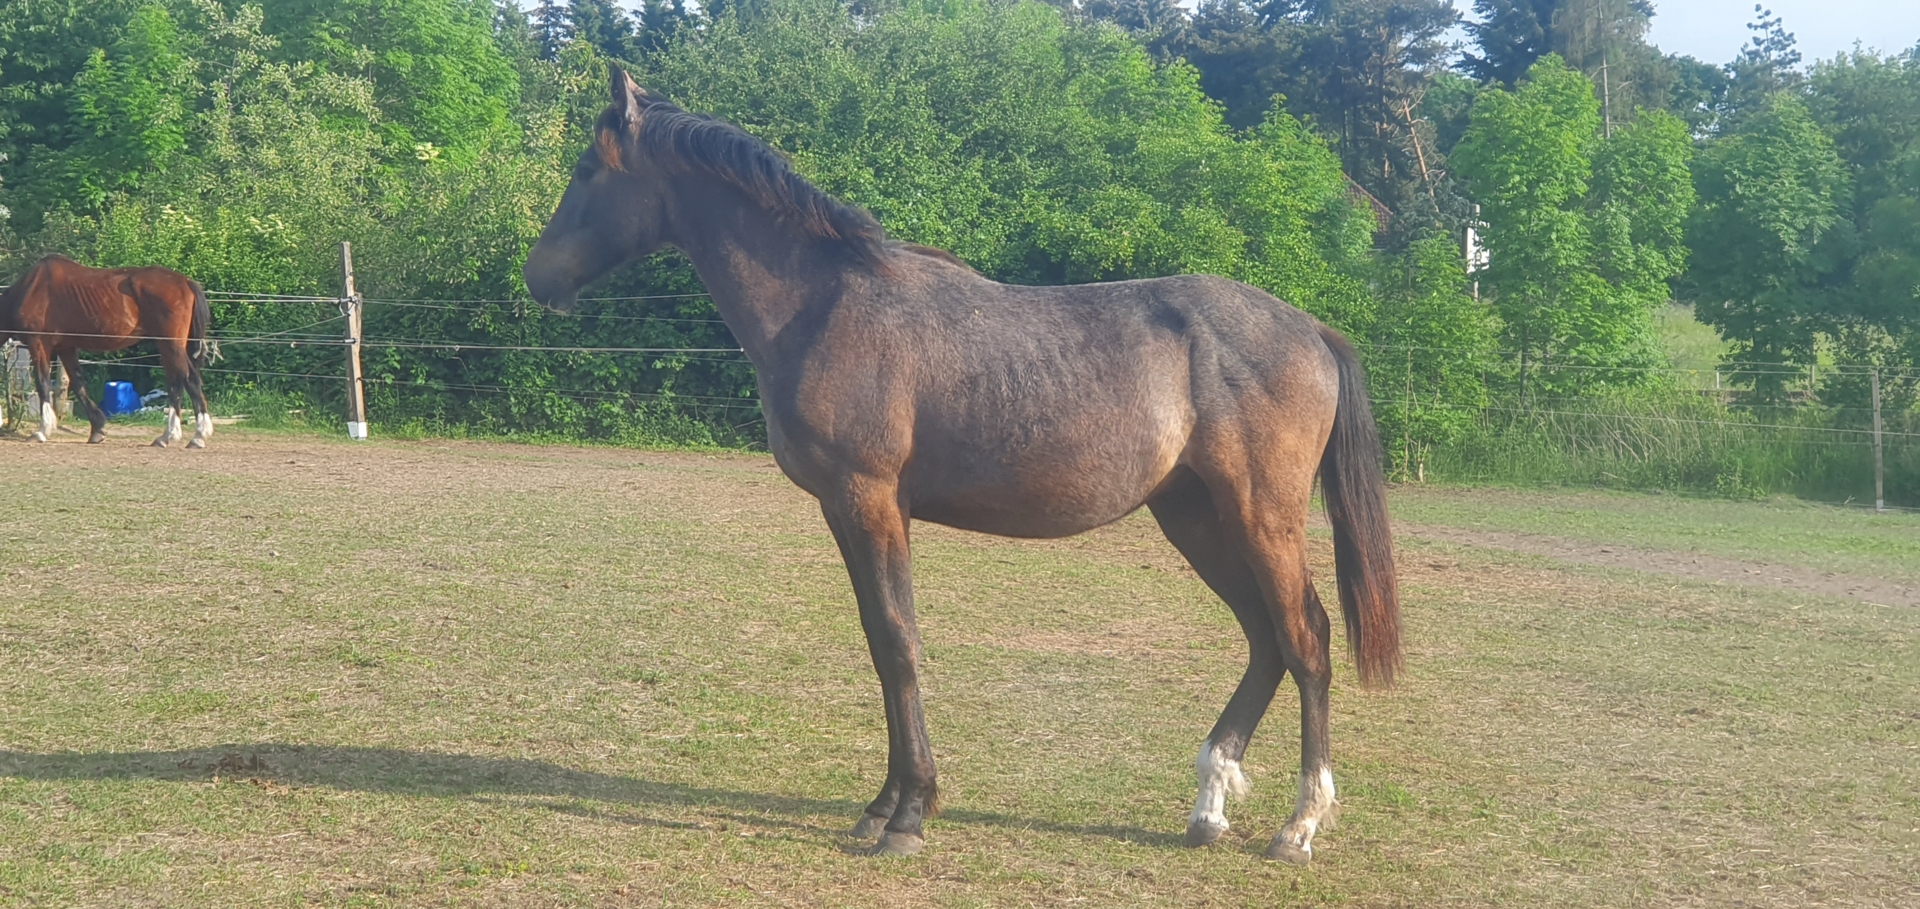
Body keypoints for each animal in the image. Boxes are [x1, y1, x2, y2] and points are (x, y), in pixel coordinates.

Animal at [0, 255, 214, 448]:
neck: (30, 289)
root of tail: (185, 282)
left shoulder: (38, 344)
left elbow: (43, 384)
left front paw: (42, 431)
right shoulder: (66, 347)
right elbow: (78, 384)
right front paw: (97, 429)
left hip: (171, 345)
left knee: (188, 381)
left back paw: (192, 436)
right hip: (170, 347)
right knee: (179, 383)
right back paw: (174, 436)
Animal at [523, 68, 1401, 864]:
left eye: (587, 170)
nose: (537, 275)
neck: (826, 305)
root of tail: (1314, 329)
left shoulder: (870, 500)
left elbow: (898, 641)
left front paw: (909, 815)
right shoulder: (846, 509)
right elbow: (881, 642)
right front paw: (881, 806)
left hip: (1259, 515)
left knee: (1306, 639)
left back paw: (1299, 825)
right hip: (1195, 516)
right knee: (1264, 640)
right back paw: (1210, 805)